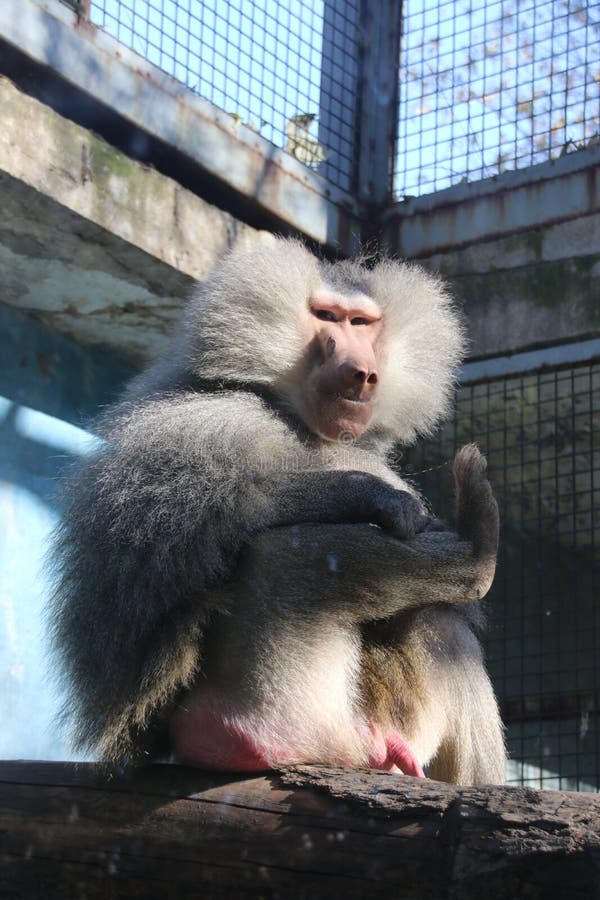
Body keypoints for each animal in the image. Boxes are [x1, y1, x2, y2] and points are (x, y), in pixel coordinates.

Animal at [48, 235, 506, 785]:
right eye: (326, 317)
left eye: (361, 323)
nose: (362, 370)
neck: (287, 409)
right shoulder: (208, 416)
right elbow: (201, 512)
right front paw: (373, 496)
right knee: (309, 564)